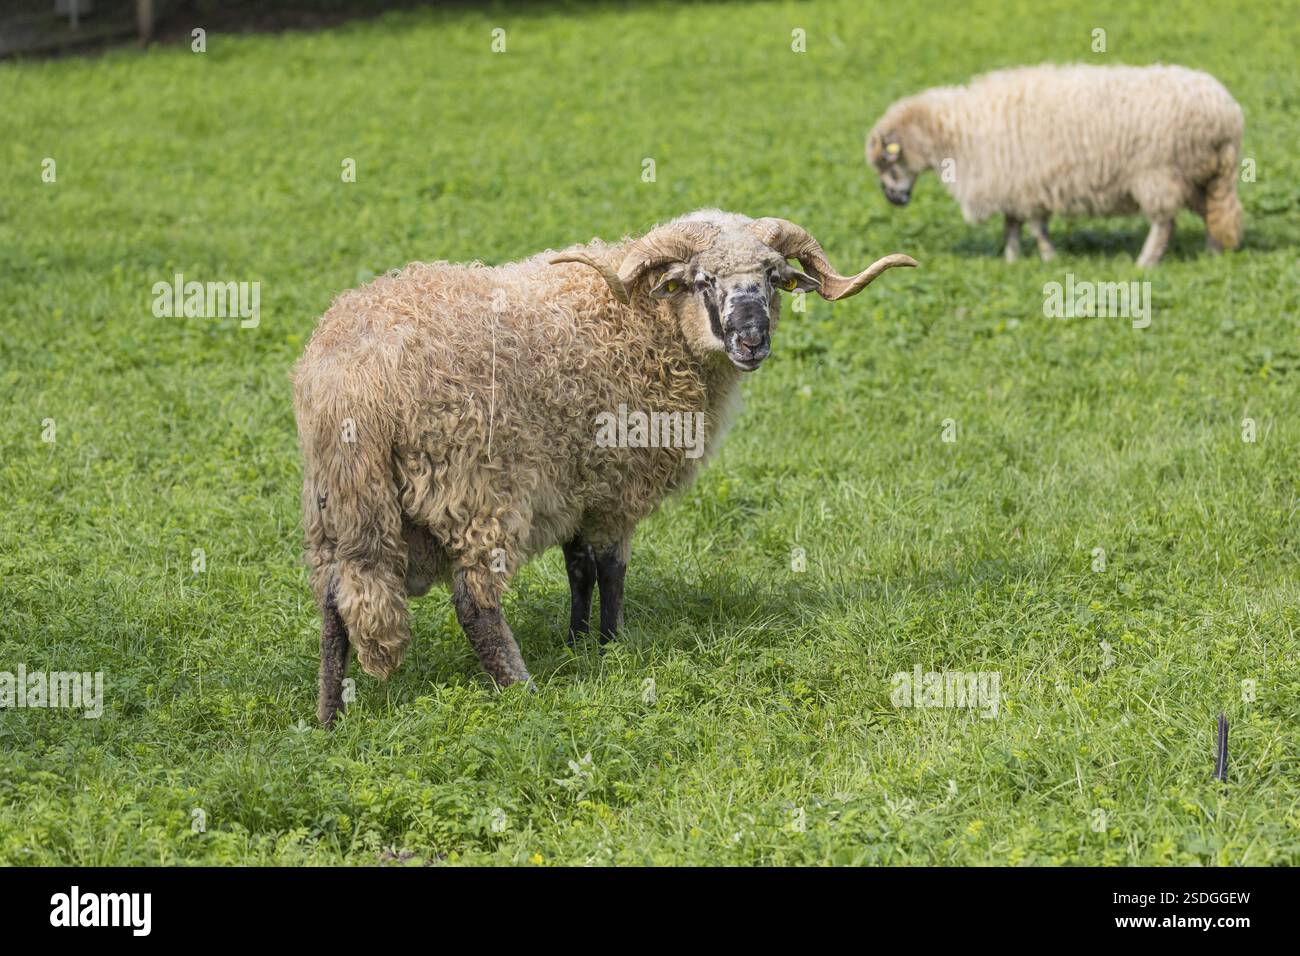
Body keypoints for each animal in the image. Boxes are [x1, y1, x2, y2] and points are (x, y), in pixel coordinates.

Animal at [293, 210, 917, 725]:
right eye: (702, 280)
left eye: (770, 276)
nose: (751, 340)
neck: (646, 322)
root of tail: (354, 382)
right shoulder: (618, 486)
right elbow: (612, 570)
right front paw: (614, 645)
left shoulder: (578, 487)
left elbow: (578, 570)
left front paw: (577, 644)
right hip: (471, 490)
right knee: (475, 605)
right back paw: (523, 693)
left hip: (338, 502)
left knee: (333, 604)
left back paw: (329, 718)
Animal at [865, 64, 1244, 267]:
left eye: (887, 160)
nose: (894, 199)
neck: (956, 131)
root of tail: (1227, 113)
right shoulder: (1014, 184)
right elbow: (1013, 224)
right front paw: (1012, 258)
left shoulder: (1027, 184)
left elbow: (1035, 226)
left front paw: (1047, 257)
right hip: (1200, 176)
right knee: (1213, 212)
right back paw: (1213, 253)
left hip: (1160, 175)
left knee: (1165, 223)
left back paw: (1146, 262)